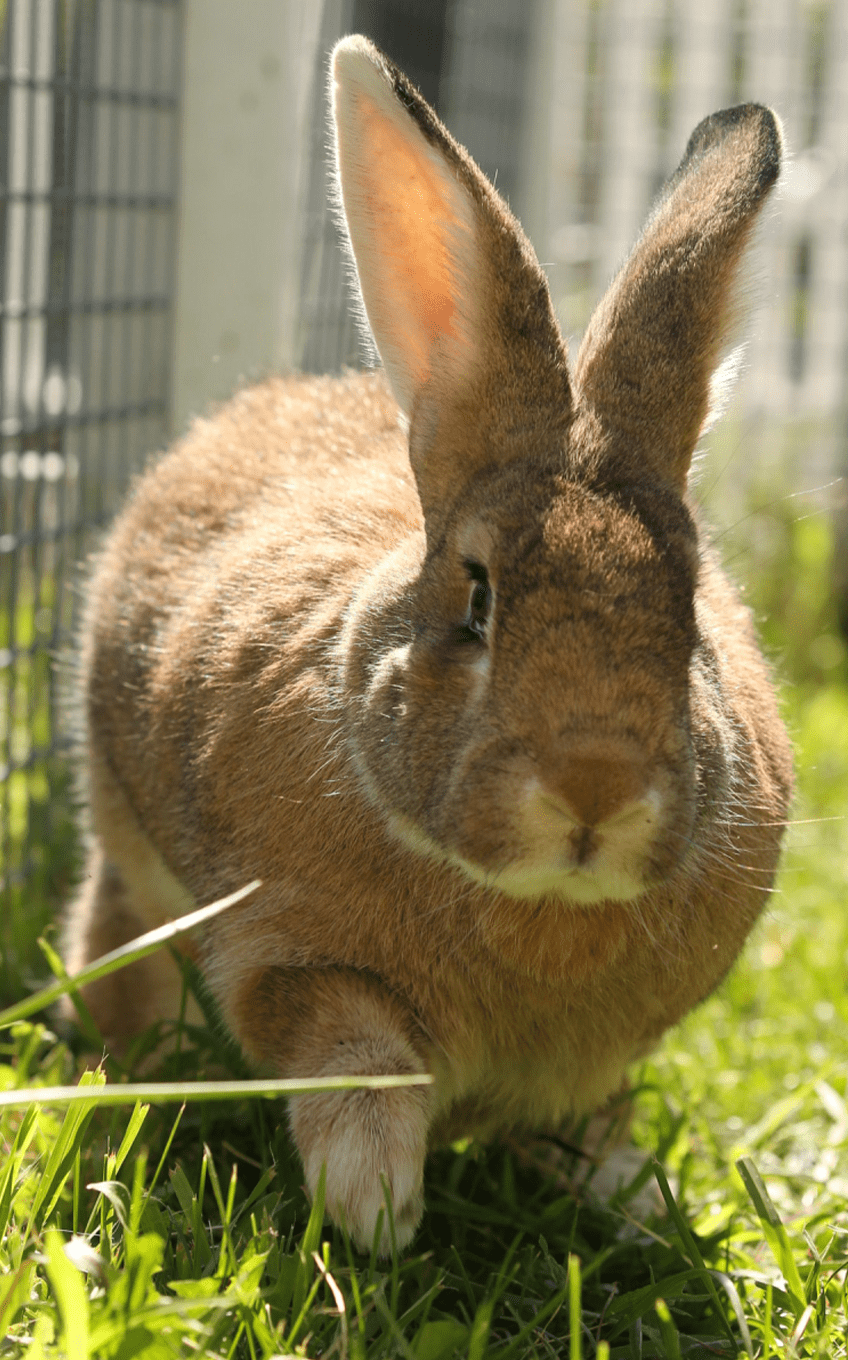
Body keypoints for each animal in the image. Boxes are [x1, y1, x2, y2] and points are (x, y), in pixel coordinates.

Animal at [63, 34, 793, 1253]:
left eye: (691, 611)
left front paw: (635, 1197)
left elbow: (586, 1118)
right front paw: (373, 1205)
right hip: (125, 825)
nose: (593, 790)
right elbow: (352, 1049)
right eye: (476, 600)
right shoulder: (287, 951)